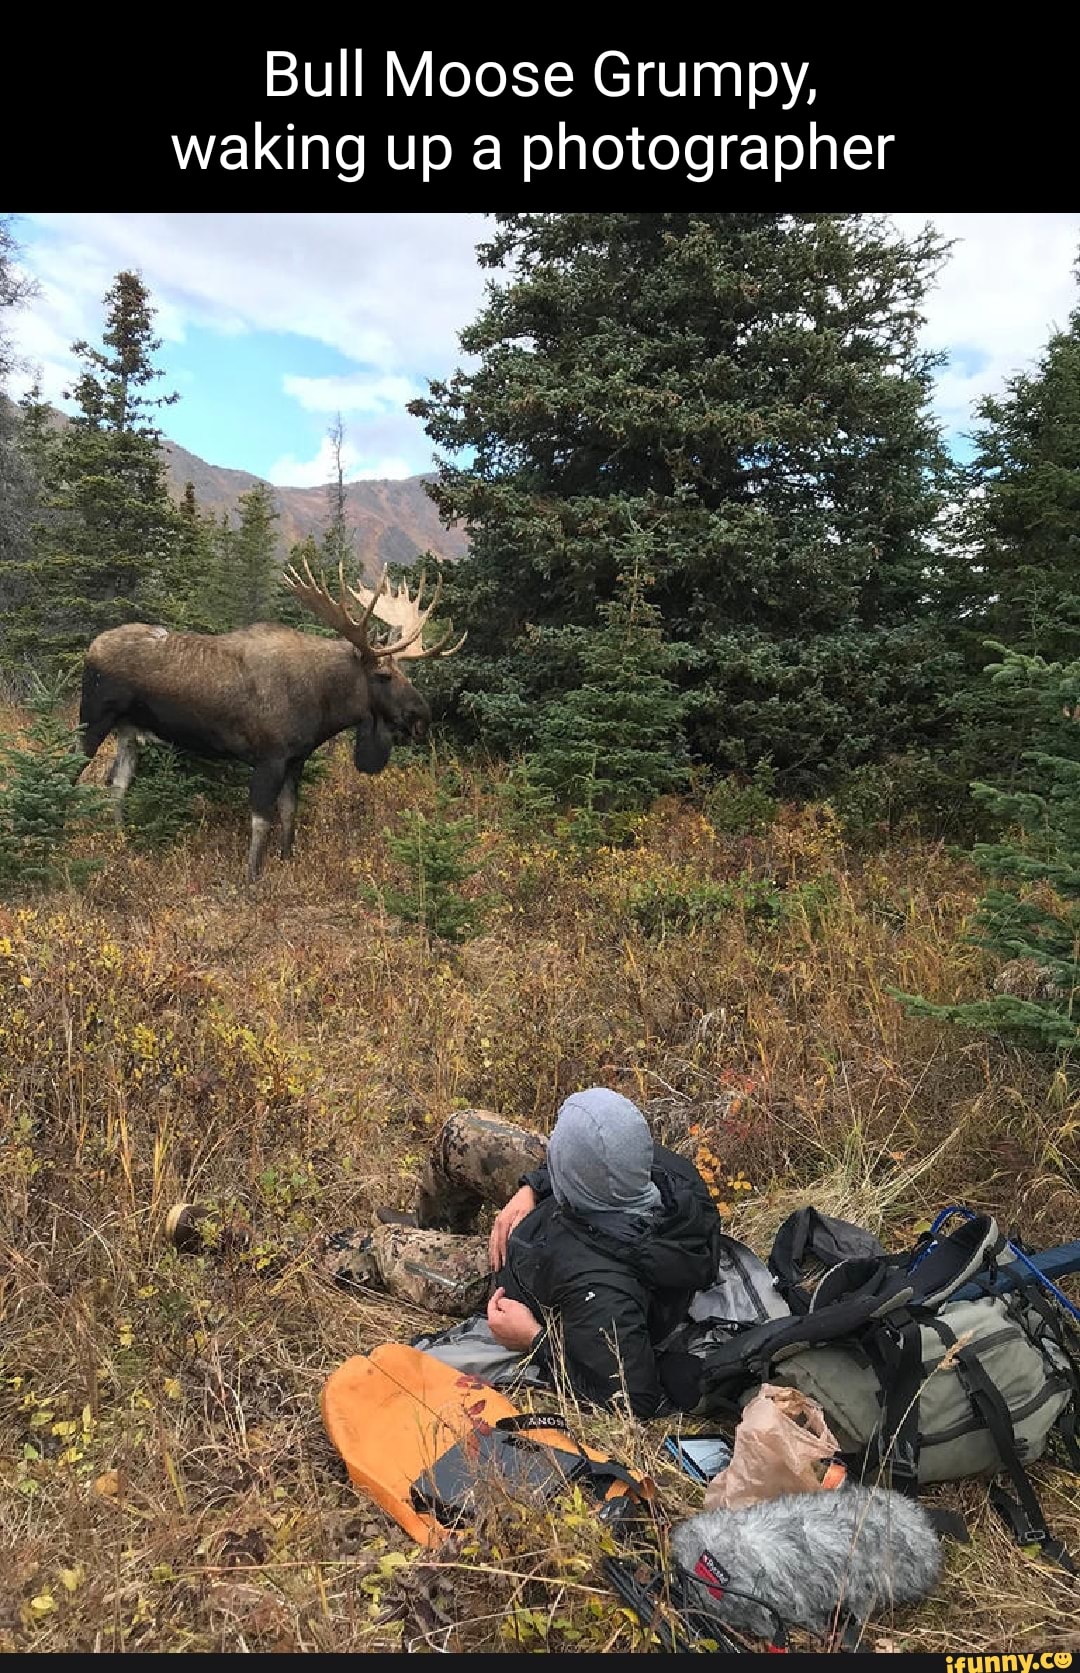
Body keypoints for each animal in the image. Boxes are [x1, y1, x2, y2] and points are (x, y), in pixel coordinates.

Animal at [77, 560, 465, 880]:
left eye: (405, 672)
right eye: (383, 675)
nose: (422, 718)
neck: (323, 703)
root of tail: (91, 647)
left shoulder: (297, 759)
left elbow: (290, 810)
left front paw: (286, 858)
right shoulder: (269, 758)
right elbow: (262, 819)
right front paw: (252, 876)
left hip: (128, 730)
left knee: (116, 784)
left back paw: (120, 840)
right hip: (93, 720)